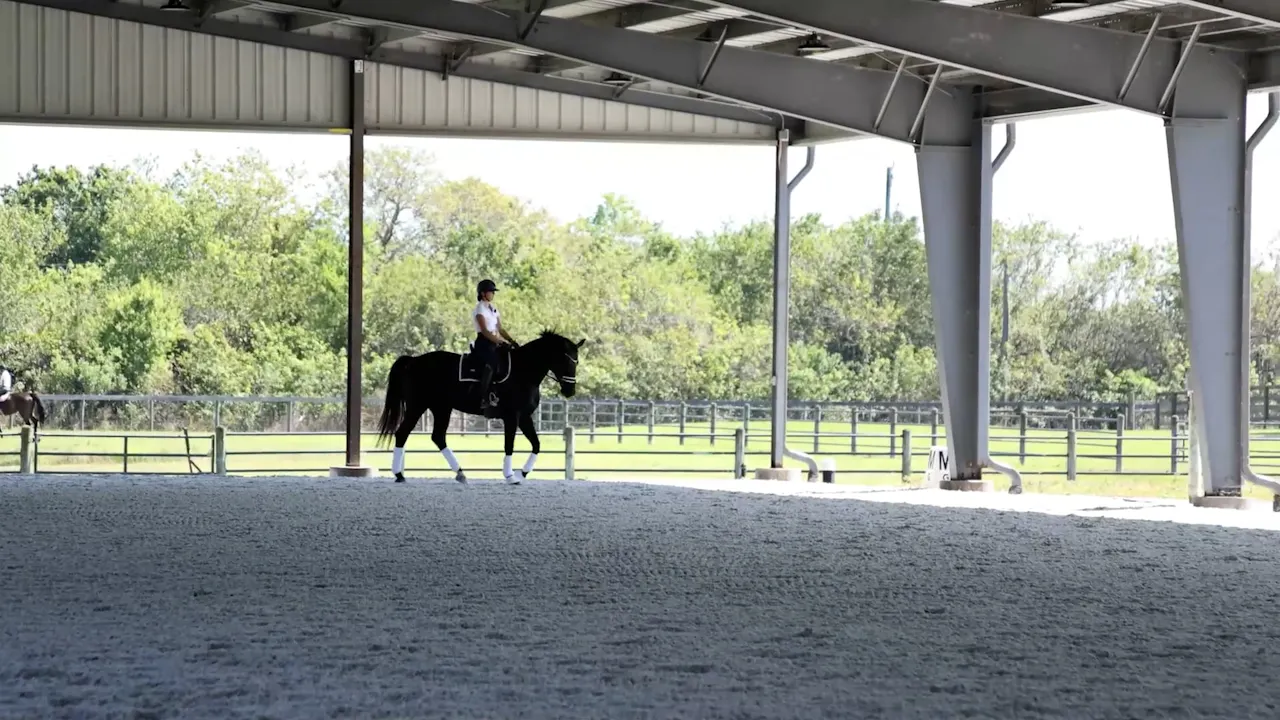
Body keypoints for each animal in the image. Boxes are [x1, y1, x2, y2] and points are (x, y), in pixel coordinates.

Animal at [376, 329, 584, 484]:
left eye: (576, 361)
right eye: (565, 359)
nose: (569, 390)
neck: (523, 371)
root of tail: (413, 360)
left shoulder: (524, 417)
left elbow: (536, 444)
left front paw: (521, 474)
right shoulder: (512, 417)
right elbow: (509, 445)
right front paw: (510, 476)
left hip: (441, 408)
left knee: (438, 437)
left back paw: (460, 473)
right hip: (417, 406)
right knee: (402, 433)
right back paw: (399, 475)